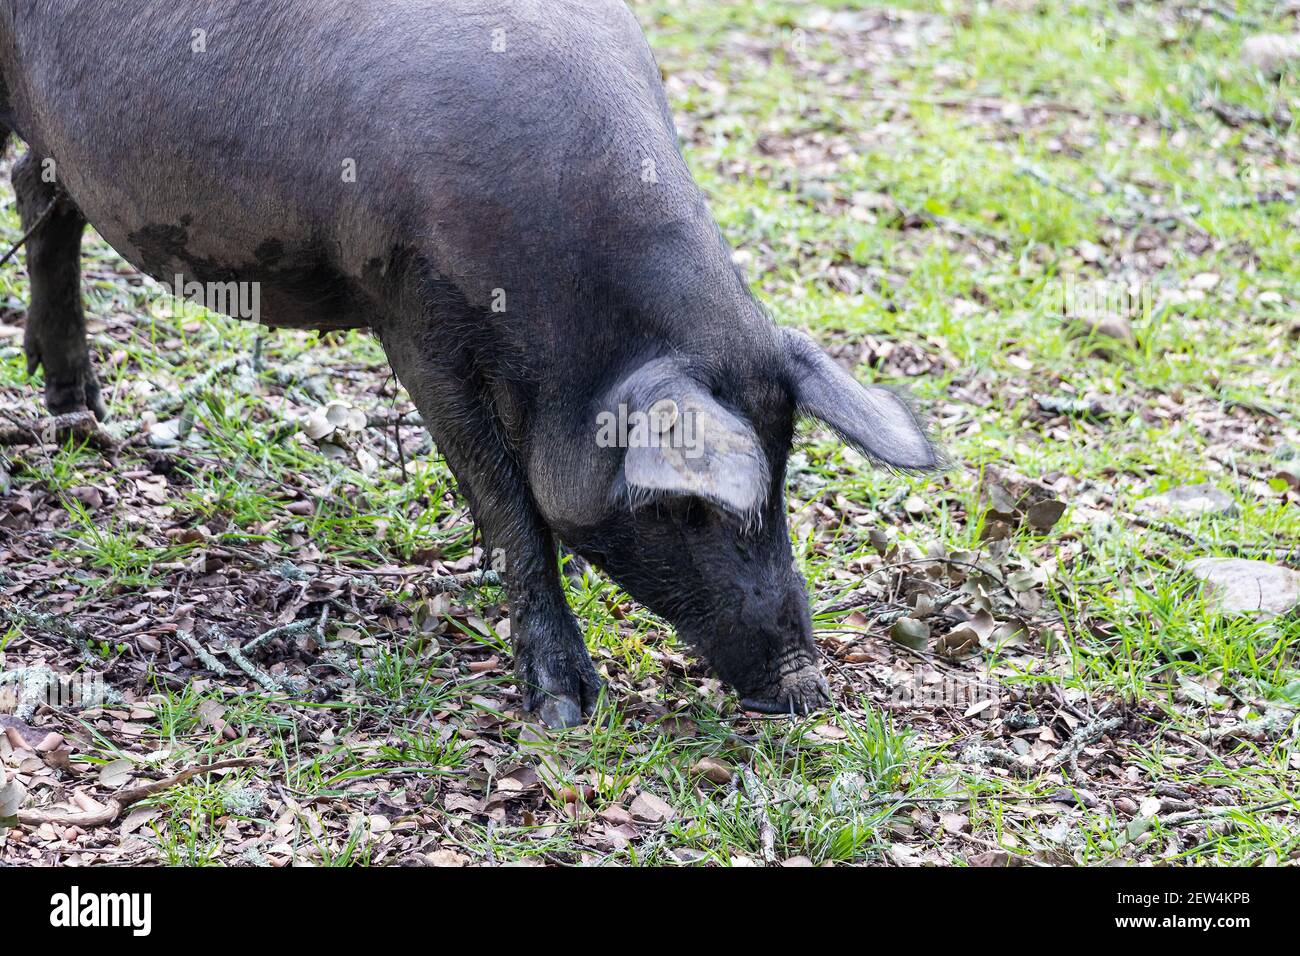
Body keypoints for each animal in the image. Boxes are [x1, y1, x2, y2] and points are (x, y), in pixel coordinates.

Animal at [0, 0, 940, 726]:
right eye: (685, 511)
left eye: (785, 477)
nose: (807, 691)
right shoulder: (411, 309)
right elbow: (507, 495)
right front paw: (564, 708)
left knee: (38, 189)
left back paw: (78, 411)